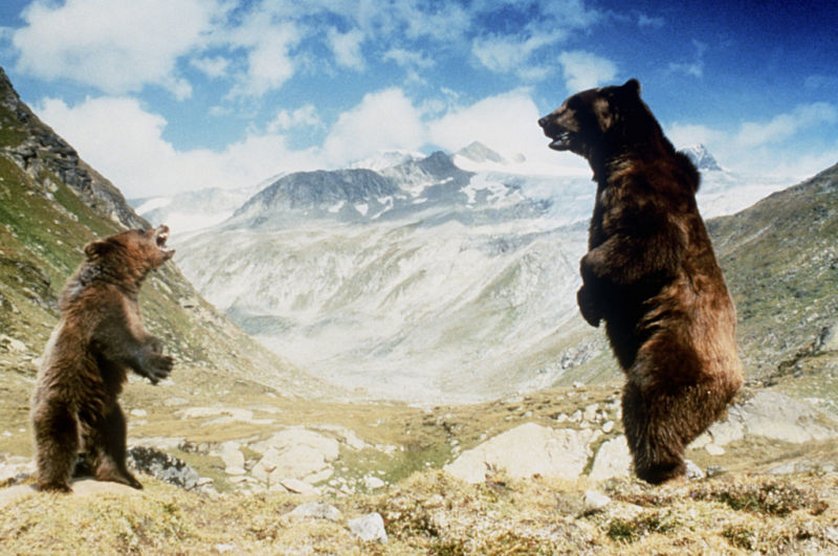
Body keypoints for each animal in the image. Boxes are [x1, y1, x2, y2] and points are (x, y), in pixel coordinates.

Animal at [31, 225, 175, 492]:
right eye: (141, 229)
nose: (163, 226)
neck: (123, 283)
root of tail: (86, 415)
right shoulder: (99, 306)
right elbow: (114, 337)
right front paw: (159, 365)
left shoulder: (133, 309)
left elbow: (144, 334)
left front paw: (158, 348)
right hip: (60, 399)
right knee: (57, 438)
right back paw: (55, 484)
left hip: (108, 409)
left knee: (113, 438)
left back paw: (123, 476)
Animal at [538, 79, 743, 484]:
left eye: (570, 104)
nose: (542, 120)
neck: (618, 156)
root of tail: (735, 383)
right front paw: (589, 303)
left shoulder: (646, 195)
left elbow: (641, 246)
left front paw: (591, 299)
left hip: (677, 351)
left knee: (650, 398)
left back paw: (658, 466)